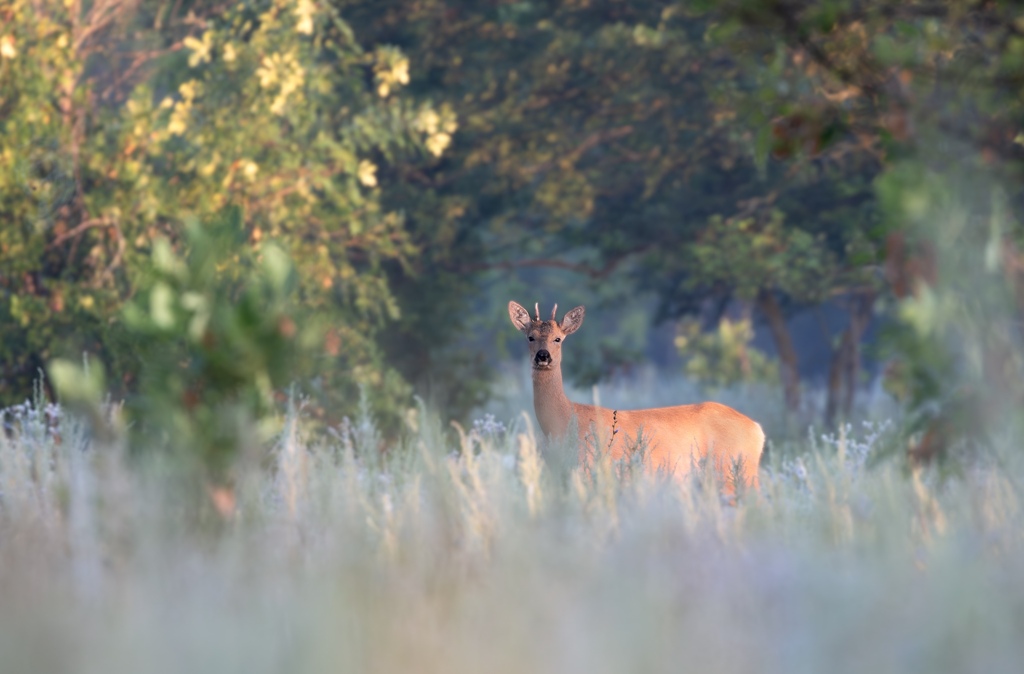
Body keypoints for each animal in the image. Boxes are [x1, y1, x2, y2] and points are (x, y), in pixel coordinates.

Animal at [508, 301, 765, 496]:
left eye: (558, 338)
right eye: (530, 337)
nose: (543, 356)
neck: (565, 420)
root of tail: (757, 429)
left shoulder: (592, 470)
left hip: (735, 470)